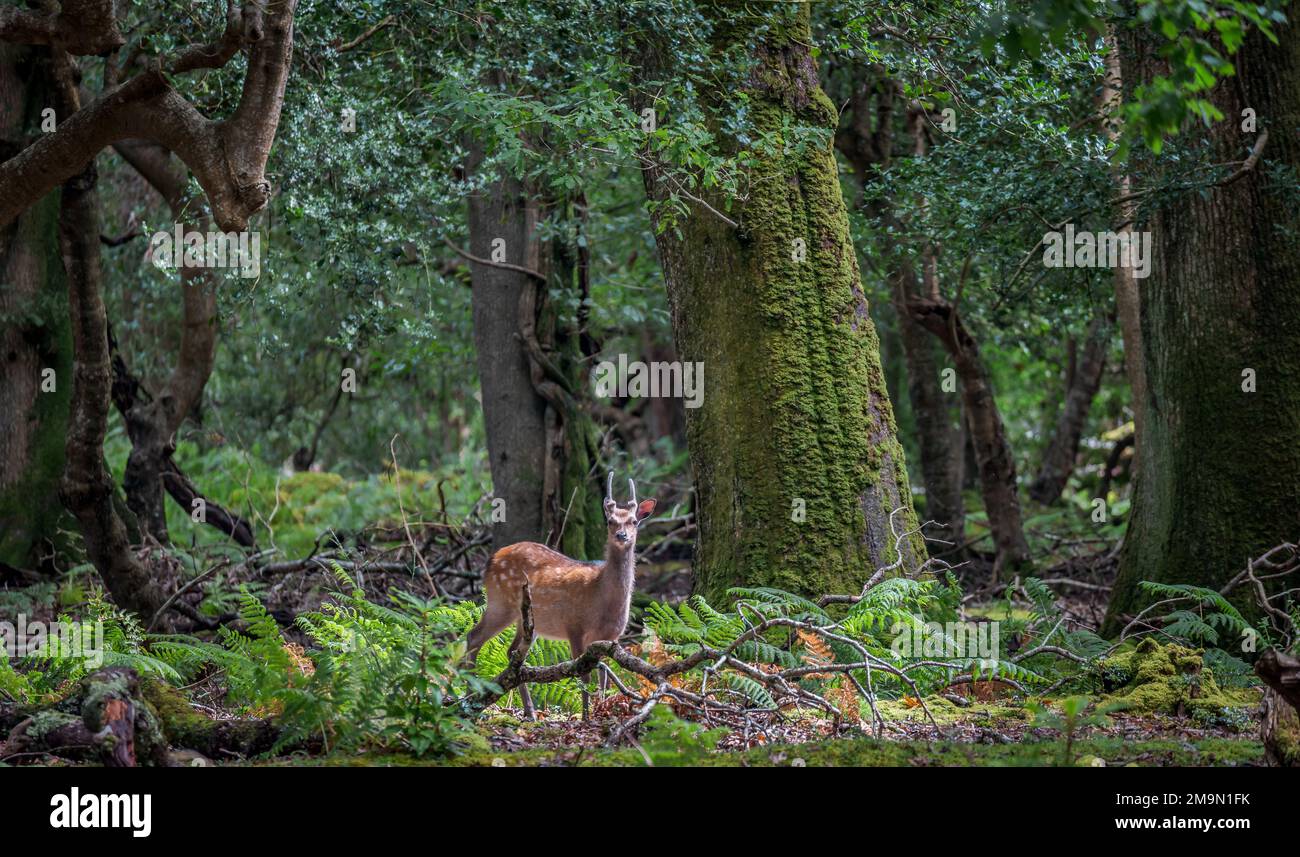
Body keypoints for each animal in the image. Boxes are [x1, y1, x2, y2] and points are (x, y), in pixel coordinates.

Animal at [464, 471, 656, 720]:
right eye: (610, 521)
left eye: (634, 521)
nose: (621, 535)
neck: (602, 599)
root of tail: (490, 562)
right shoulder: (575, 627)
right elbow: (584, 675)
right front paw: (586, 717)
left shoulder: (611, 637)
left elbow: (604, 677)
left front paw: (602, 710)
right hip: (500, 602)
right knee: (474, 637)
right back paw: (469, 697)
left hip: (525, 620)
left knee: (512, 651)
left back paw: (529, 710)